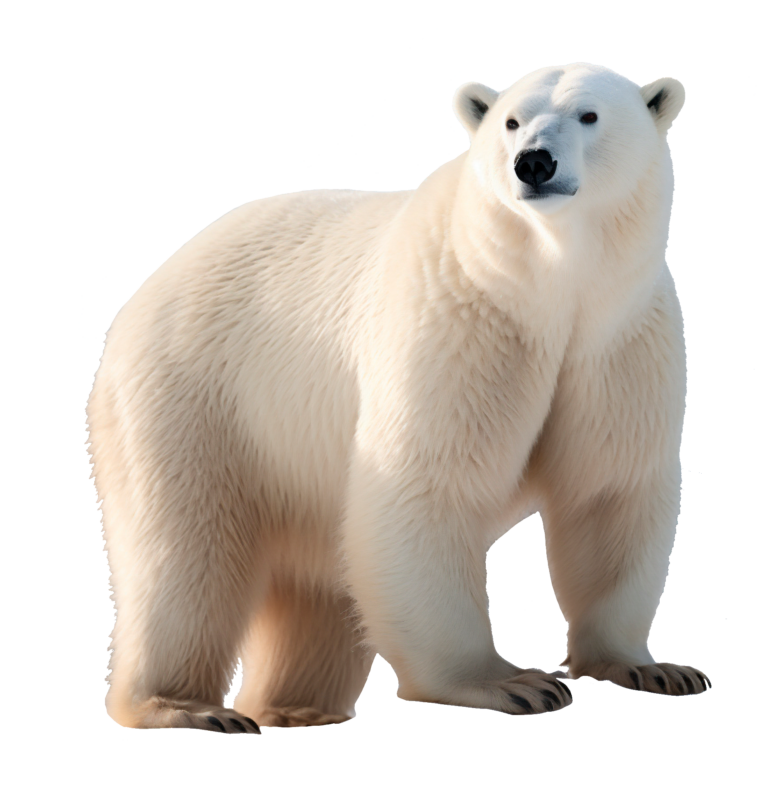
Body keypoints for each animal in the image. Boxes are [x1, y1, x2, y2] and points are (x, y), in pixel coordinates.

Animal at [86, 61, 709, 732]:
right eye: (511, 120)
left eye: (589, 115)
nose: (533, 162)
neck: (550, 287)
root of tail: (146, 289)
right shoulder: (460, 319)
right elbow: (426, 484)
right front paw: (508, 683)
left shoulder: (617, 339)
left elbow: (607, 490)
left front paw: (652, 668)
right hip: (195, 398)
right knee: (185, 557)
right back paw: (187, 706)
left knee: (315, 580)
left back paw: (297, 707)